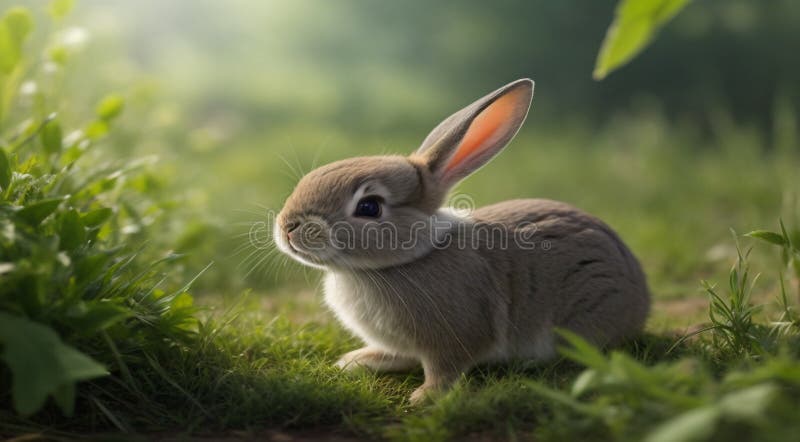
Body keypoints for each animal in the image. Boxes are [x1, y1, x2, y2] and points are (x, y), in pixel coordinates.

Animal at [273, 78, 650, 404]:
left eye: (369, 206)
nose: (287, 227)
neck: (400, 261)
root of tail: (641, 298)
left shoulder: (454, 338)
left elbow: (444, 369)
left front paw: (424, 397)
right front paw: (354, 361)